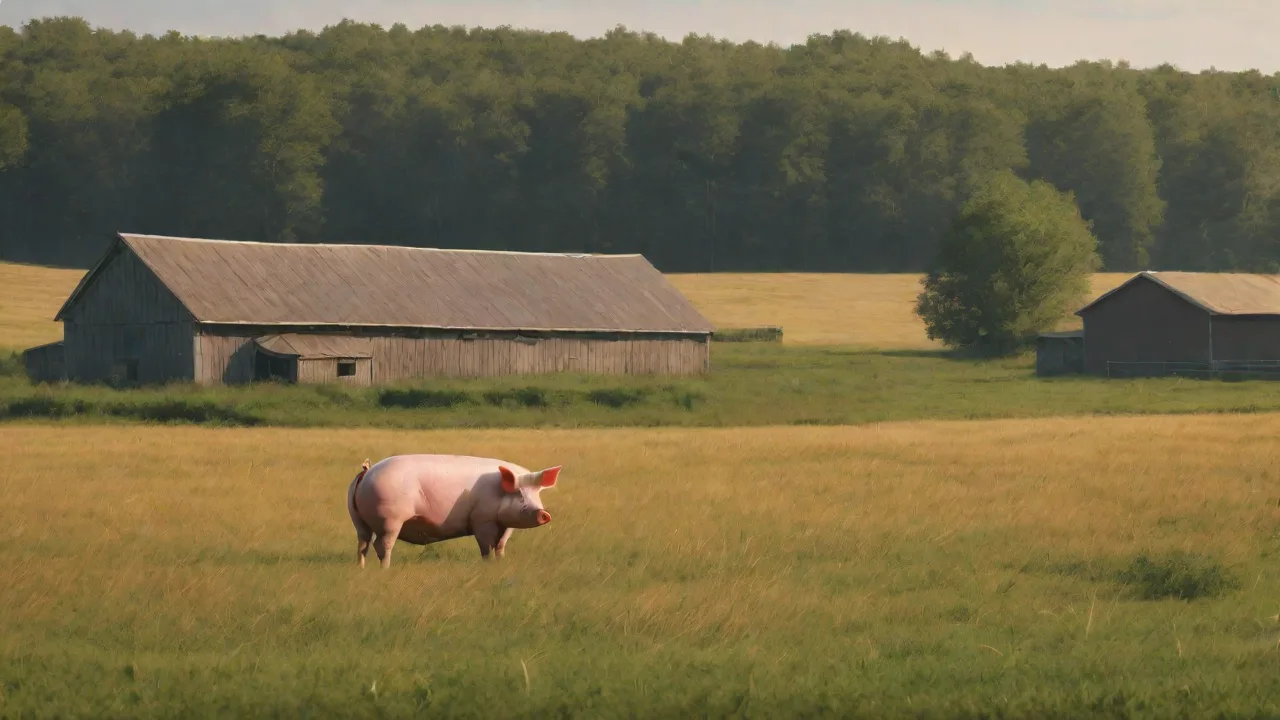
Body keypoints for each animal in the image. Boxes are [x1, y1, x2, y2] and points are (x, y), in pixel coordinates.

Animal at [345, 454, 561, 568]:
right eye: (519, 494)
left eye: (537, 493)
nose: (543, 513)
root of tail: (366, 473)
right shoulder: (481, 520)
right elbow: (487, 546)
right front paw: (488, 564)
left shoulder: (506, 526)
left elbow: (501, 546)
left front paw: (501, 562)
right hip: (389, 520)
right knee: (382, 545)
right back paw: (386, 569)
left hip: (358, 521)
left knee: (363, 544)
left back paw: (361, 568)